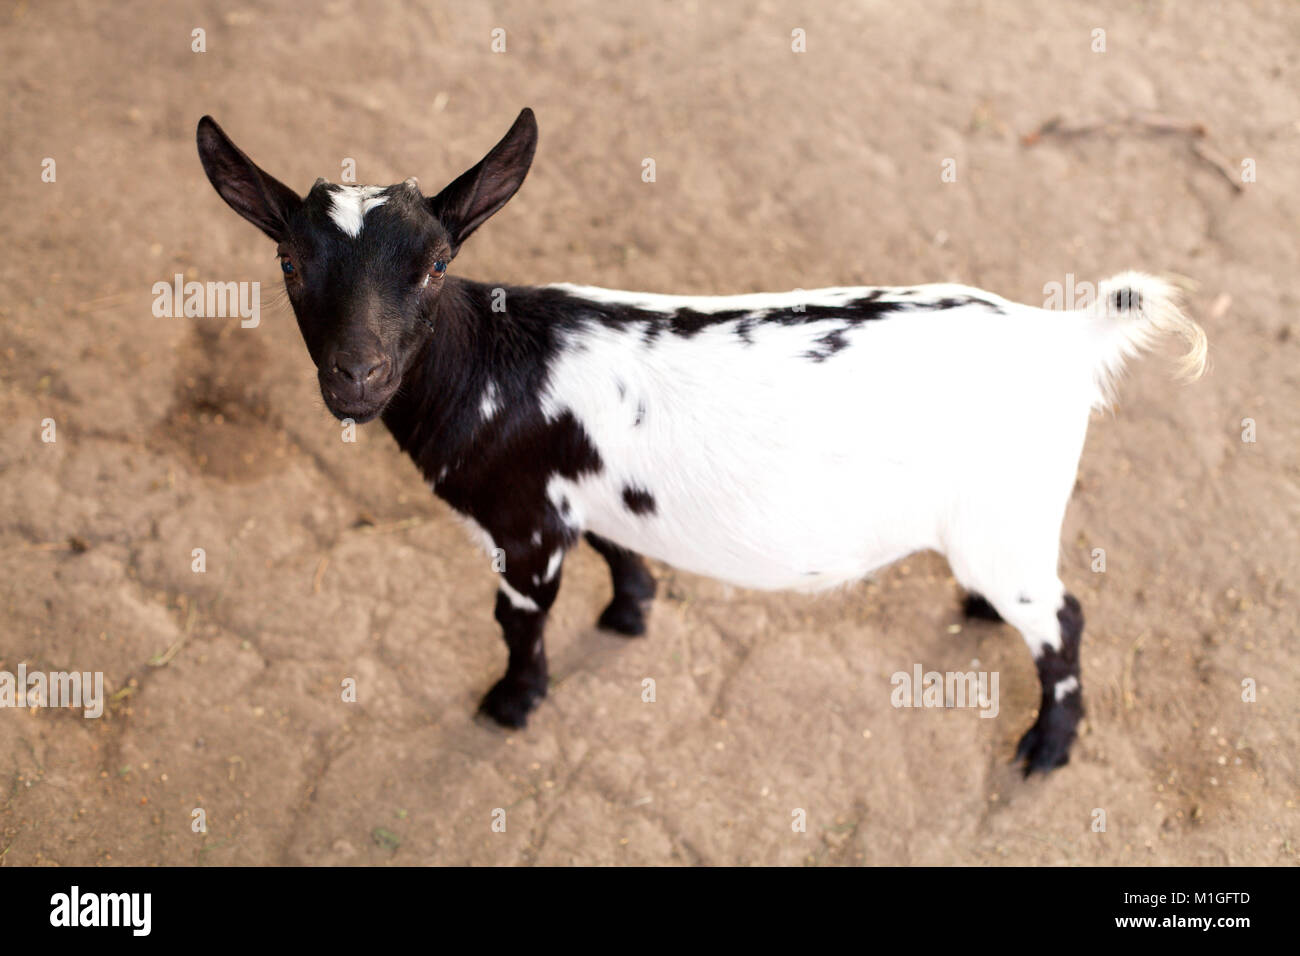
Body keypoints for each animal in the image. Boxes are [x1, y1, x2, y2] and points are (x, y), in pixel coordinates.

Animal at [196, 108, 1206, 775]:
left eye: (437, 263)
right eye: (288, 261)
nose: (355, 376)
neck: (493, 367)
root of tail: (1063, 336)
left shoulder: (522, 529)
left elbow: (518, 625)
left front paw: (512, 704)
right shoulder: (587, 492)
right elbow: (618, 545)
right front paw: (632, 610)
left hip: (1010, 511)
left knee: (1064, 621)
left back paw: (1046, 745)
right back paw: (982, 616)